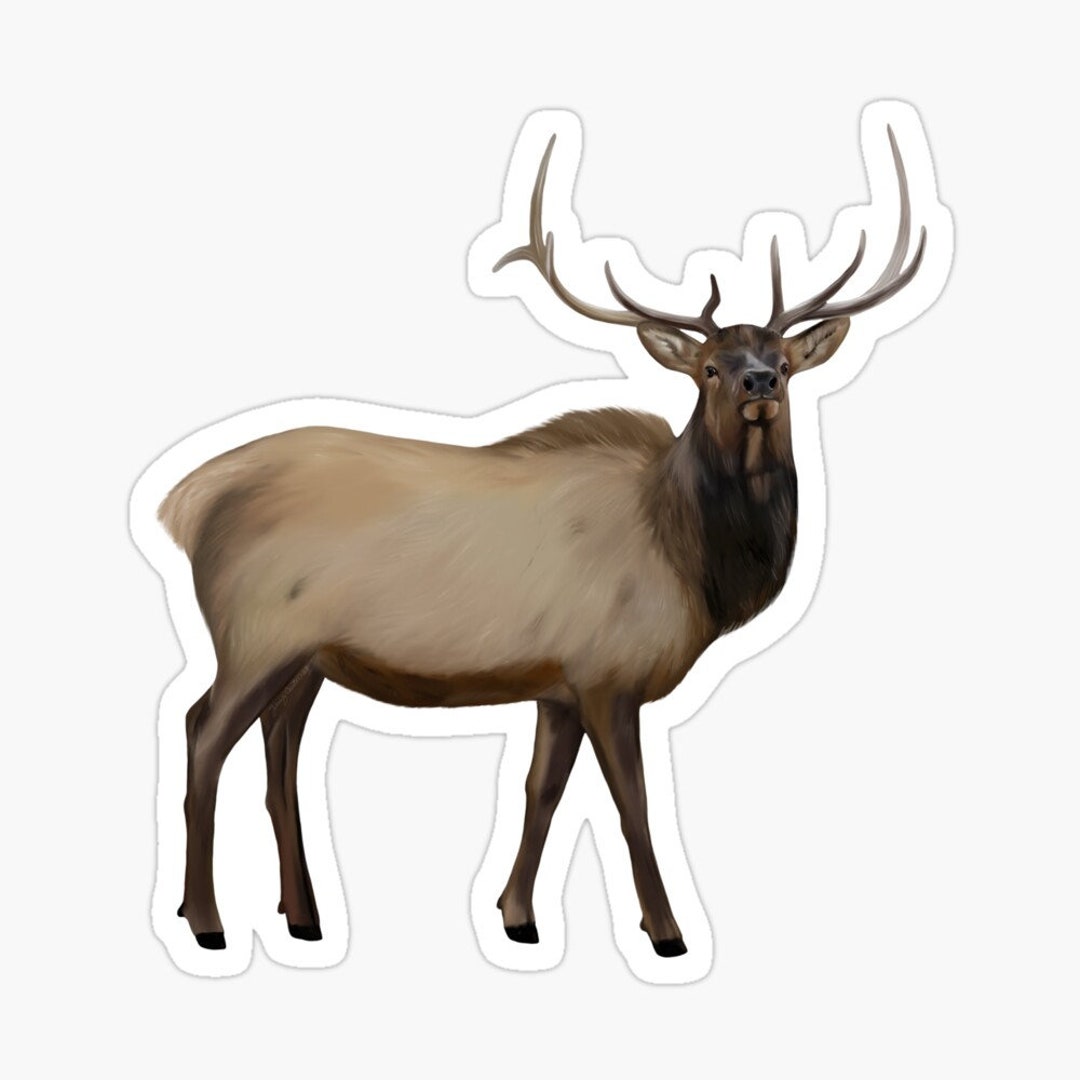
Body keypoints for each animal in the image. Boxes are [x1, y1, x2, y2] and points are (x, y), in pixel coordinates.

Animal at [158, 123, 927, 961]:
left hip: (307, 654)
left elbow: (541, 793)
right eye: (709, 368)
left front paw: (516, 915)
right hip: (255, 635)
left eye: (784, 362)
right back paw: (206, 920)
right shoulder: (608, 674)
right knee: (201, 735)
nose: (759, 382)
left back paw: (301, 915)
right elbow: (633, 805)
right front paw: (666, 932)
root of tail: (182, 502)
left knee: (279, 751)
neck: (694, 564)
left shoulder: (557, 684)